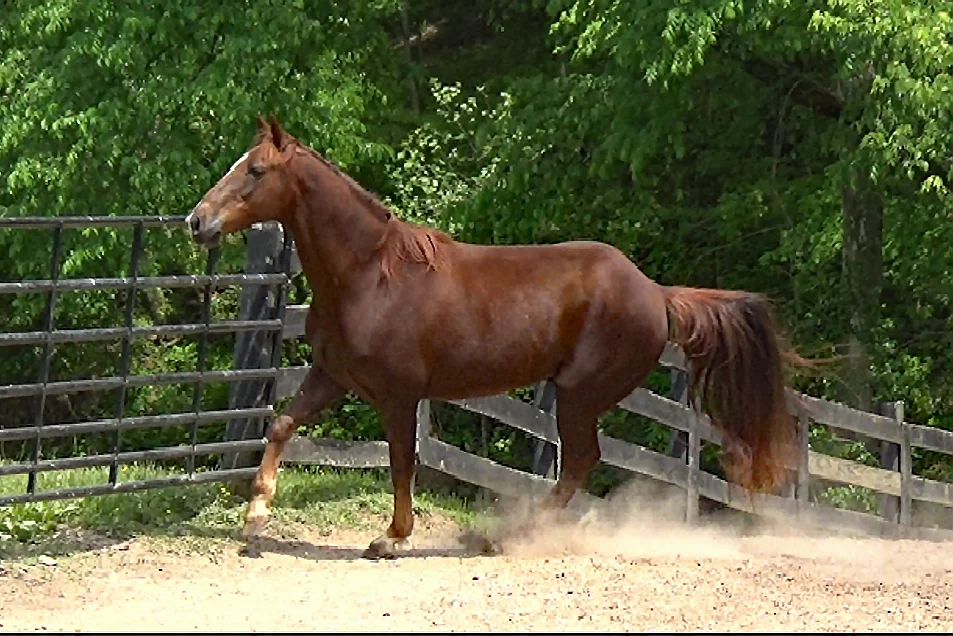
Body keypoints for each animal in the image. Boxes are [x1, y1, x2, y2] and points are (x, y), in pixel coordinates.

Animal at [187, 114, 802, 558]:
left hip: (578, 394)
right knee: (578, 464)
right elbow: (281, 425)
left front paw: (391, 537)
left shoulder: (398, 394)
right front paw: (256, 516)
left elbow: (403, 461)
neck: (368, 274)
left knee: (581, 460)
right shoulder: (333, 375)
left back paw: (503, 537)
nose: (196, 221)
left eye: (256, 170)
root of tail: (655, 291)